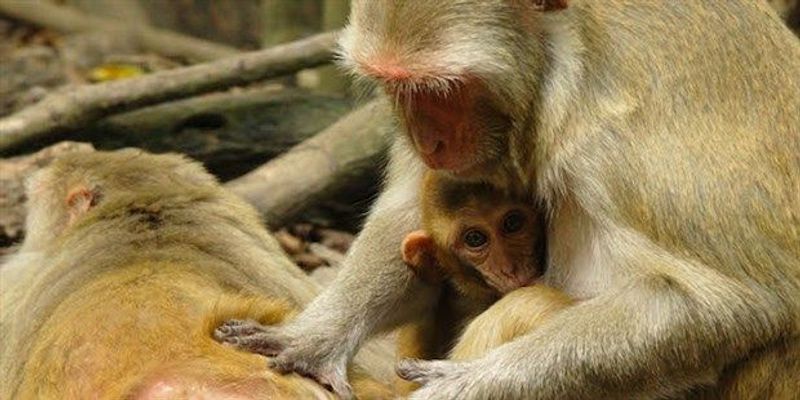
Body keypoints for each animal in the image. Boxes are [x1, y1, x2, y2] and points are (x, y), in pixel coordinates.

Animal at [215, 1, 800, 398]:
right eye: (398, 85)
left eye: (443, 88)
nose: (428, 140)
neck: (562, 65)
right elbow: (411, 216)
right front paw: (313, 339)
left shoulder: (615, 147)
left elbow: (727, 303)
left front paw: (466, 386)